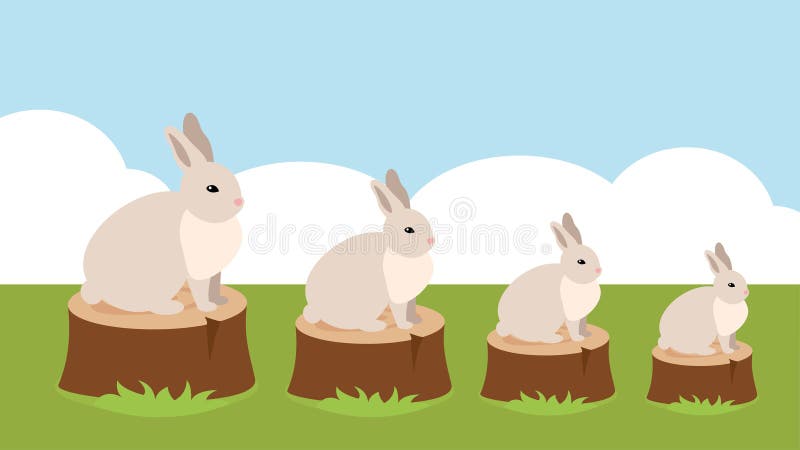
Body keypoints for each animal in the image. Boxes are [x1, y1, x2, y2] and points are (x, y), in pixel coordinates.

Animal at [81, 113, 244, 315]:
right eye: (211, 188)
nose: (239, 201)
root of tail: (98, 288)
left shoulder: (215, 272)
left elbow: (213, 287)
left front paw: (219, 301)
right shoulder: (196, 271)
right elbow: (200, 290)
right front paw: (207, 308)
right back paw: (172, 308)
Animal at [303, 169, 435, 332]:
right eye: (408, 230)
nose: (431, 240)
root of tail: (317, 310)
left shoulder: (410, 298)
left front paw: (415, 321)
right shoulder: (396, 296)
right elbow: (399, 312)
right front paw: (405, 326)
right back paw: (377, 326)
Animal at [496, 213, 602, 343]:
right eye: (581, 261)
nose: (599, 270)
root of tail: (507, 325)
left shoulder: (582, 316)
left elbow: (581, 325)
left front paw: (586, 335)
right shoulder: (571, 314)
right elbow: (573, 327)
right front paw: (578, 339)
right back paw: (555, 338)